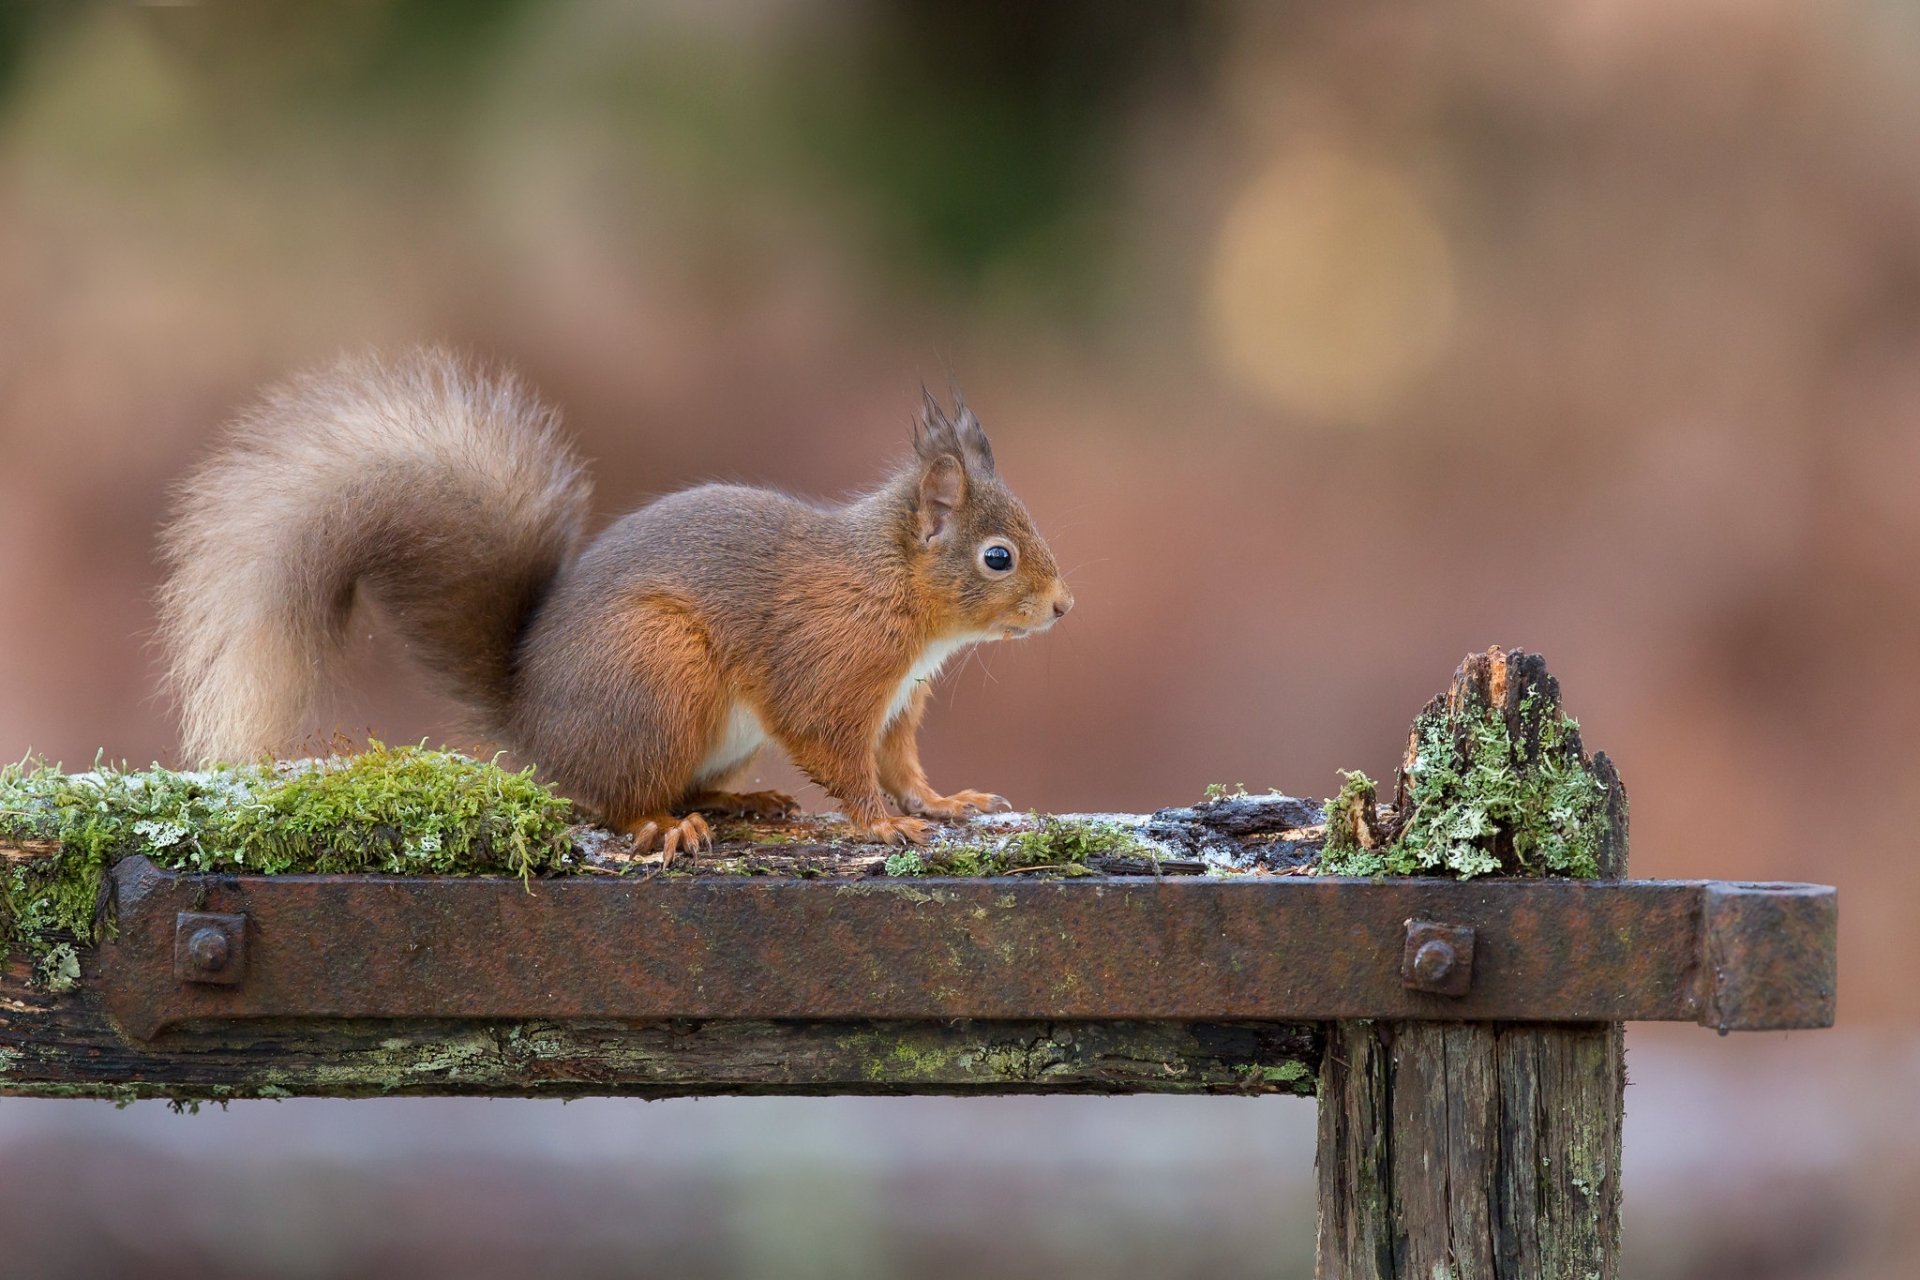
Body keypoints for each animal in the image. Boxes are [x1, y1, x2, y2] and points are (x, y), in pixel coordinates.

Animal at [157, 347, 1074, 855]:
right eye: (998, 557)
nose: (1064, 607)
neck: (893, 589)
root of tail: (534, 726)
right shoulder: (829, 670)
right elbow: (840, 758)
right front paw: (880, 825)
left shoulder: (896, 705)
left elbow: (900, 765)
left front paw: (942, 803)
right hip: (659, 679)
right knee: (620, 800)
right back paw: (661, 827)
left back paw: (738, 800)